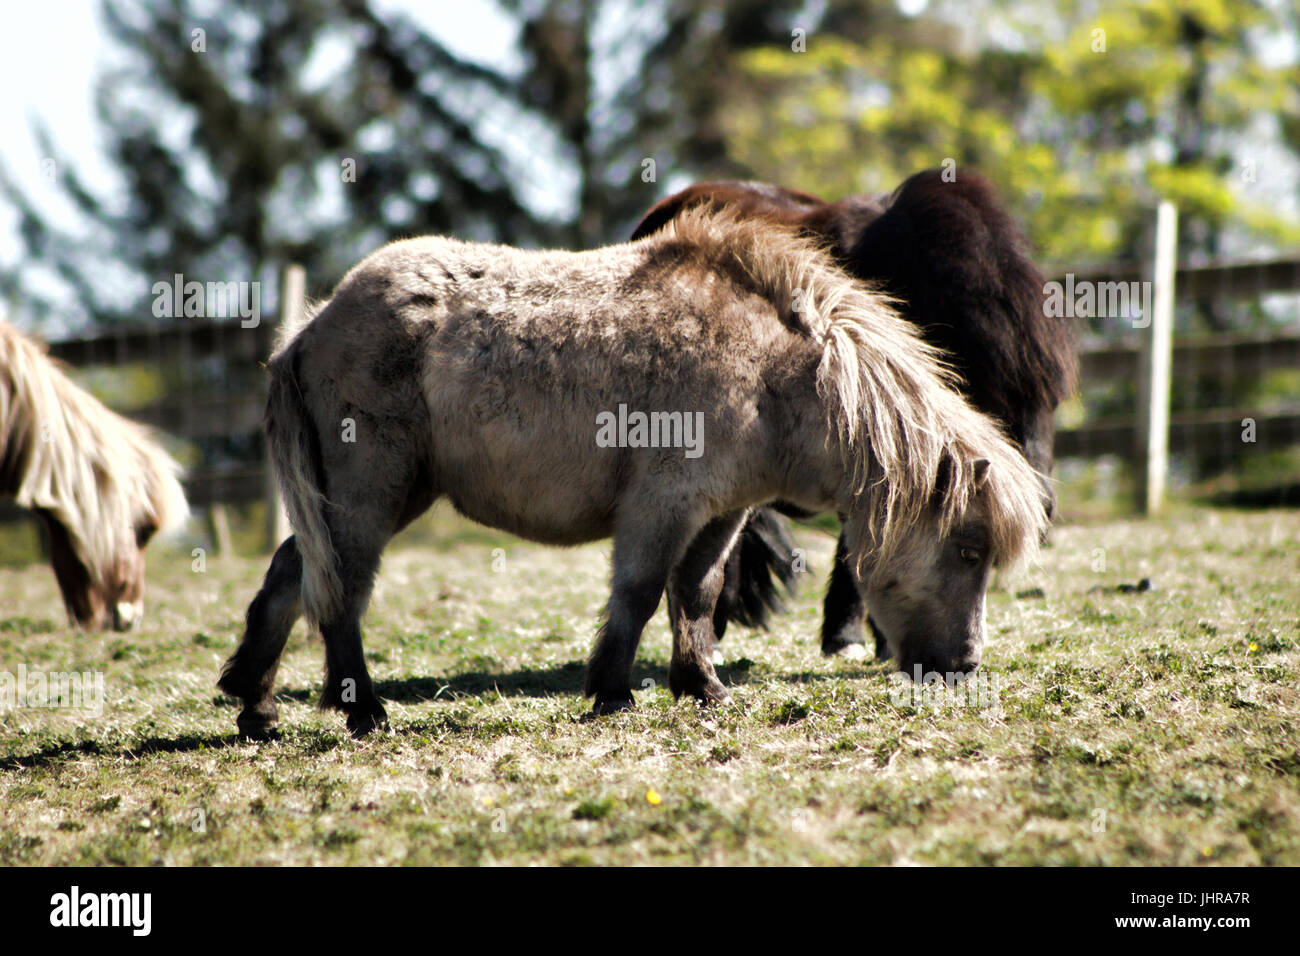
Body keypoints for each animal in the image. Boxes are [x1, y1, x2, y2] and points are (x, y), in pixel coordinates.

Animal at [218, 207, 1049, 739]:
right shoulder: (663, 504)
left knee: (295, 574)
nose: (963, 665)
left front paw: (702, 686)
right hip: (371, 496)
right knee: (343, 591)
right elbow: (641, 592)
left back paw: (255, 706)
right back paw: (361, 709)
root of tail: (311, 326)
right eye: (968, 548)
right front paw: (613, 693)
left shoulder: (722, 512)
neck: (774, 374)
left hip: (369, 496)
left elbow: (697, 593)